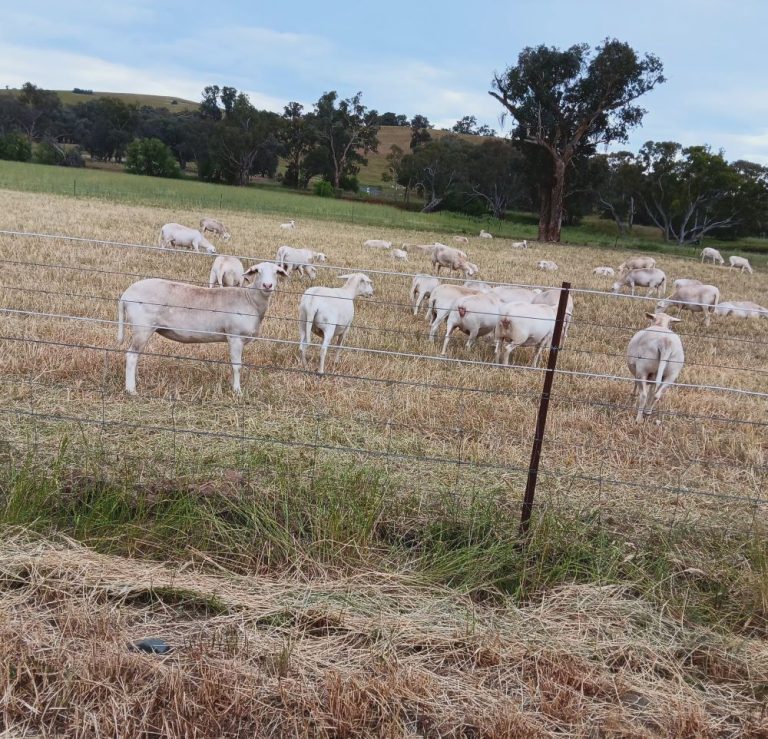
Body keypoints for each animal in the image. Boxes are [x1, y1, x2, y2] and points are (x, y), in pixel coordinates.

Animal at [117, 261, 287, 395]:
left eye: (276, 272)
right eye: (258, 271)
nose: (267, 285)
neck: (250, 299)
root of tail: (125, 295)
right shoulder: (235, 336)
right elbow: (237, 366)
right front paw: (237, 391)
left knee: (136, 355)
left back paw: (136, 380)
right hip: (143, 327)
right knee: (131, 355)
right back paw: (131, 389)